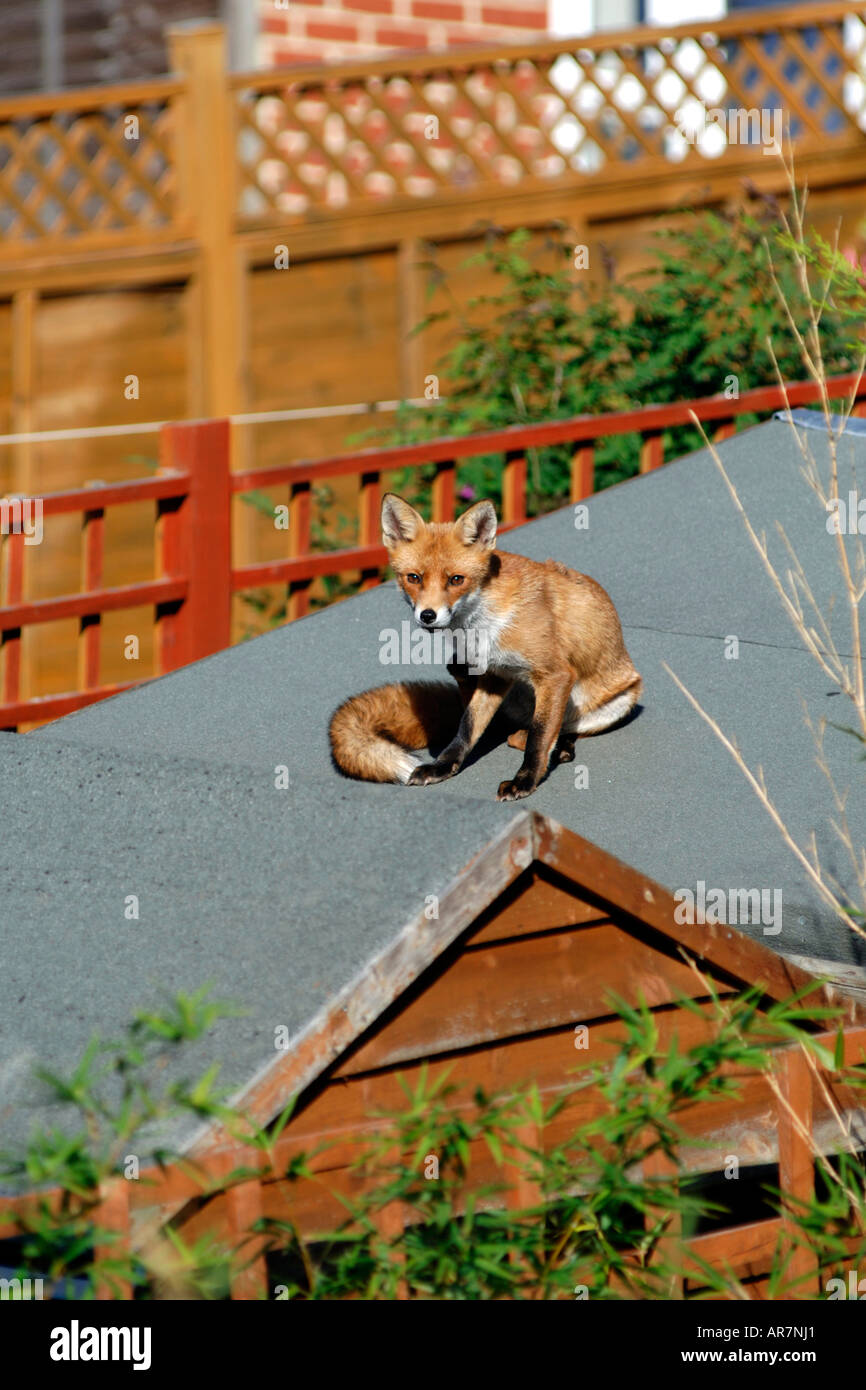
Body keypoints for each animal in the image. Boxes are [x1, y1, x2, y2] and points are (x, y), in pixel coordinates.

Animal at [329, 493, 642, 801]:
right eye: (413, 578)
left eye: (456, 579)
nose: (428, 615)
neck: (483, 624)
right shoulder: (494, 675)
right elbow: (467, 727)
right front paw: (443, 766)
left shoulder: (555, 675)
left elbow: (540, 738)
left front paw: (525, 781)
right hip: (462, 667)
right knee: (508, 730)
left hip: (618, 701)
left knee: (555, 731)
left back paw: (560, 748)